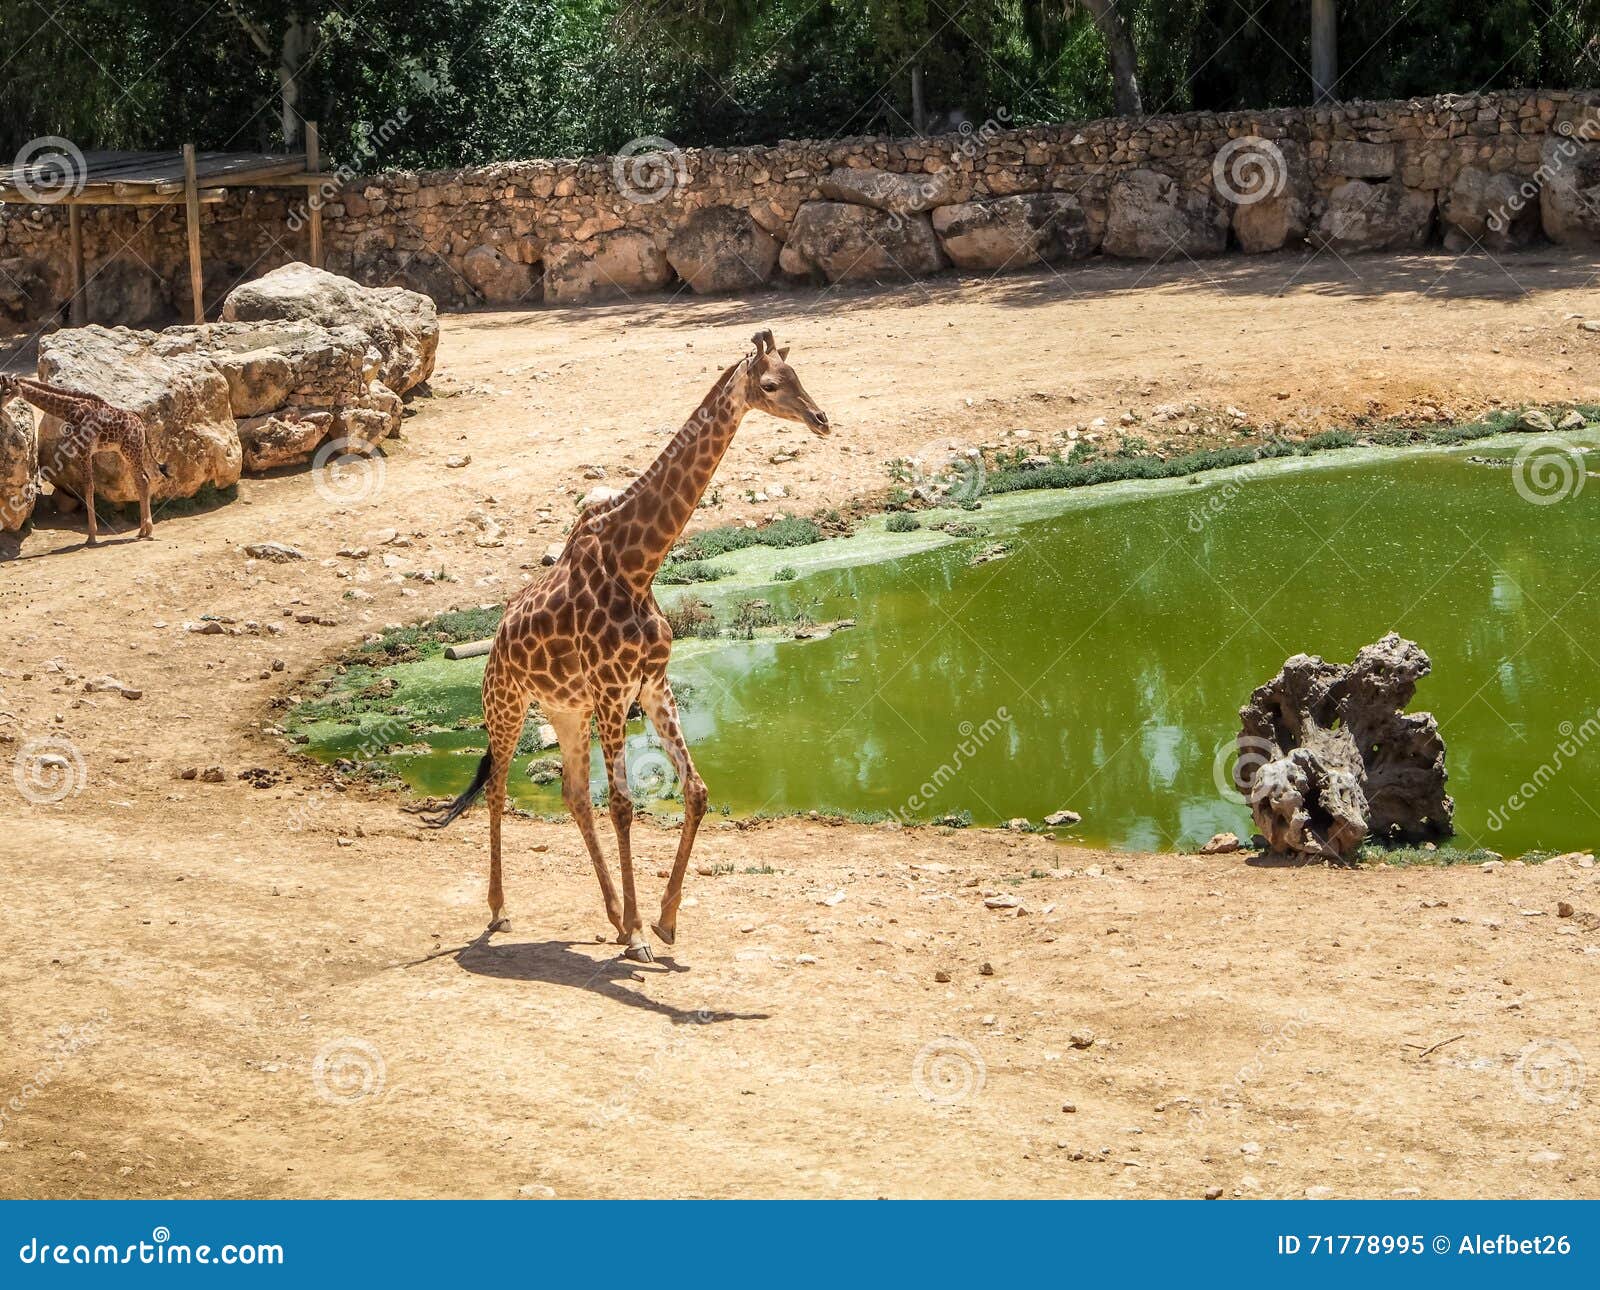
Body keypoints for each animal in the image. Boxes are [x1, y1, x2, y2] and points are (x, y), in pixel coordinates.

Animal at [0, 375, 168, 545]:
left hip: (131, 451)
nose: (0, 408)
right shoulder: (85, 452)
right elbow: (89, 486)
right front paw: (92, 534)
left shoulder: (84, 450)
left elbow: (88, 487)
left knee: (143, 480)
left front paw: (91, 536)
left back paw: (147, 530)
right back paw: (142, 531)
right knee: (142, 480)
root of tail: (142, 425)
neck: (69, 410)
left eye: (7, 391)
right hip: (126, 452)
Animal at [424, 329, 831, 962]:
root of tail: (492, 645)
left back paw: (612, 914)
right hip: (507, 705)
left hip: (567, 712)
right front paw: (641, 936)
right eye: (769, 385)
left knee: (572, 794)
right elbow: (623, 804)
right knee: (497, 788)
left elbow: (696, 791)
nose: (820, 419)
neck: (637, 565)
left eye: (798, 374)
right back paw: (500, 911)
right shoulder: (616, 691)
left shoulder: (652, 684)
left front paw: (662, 922)